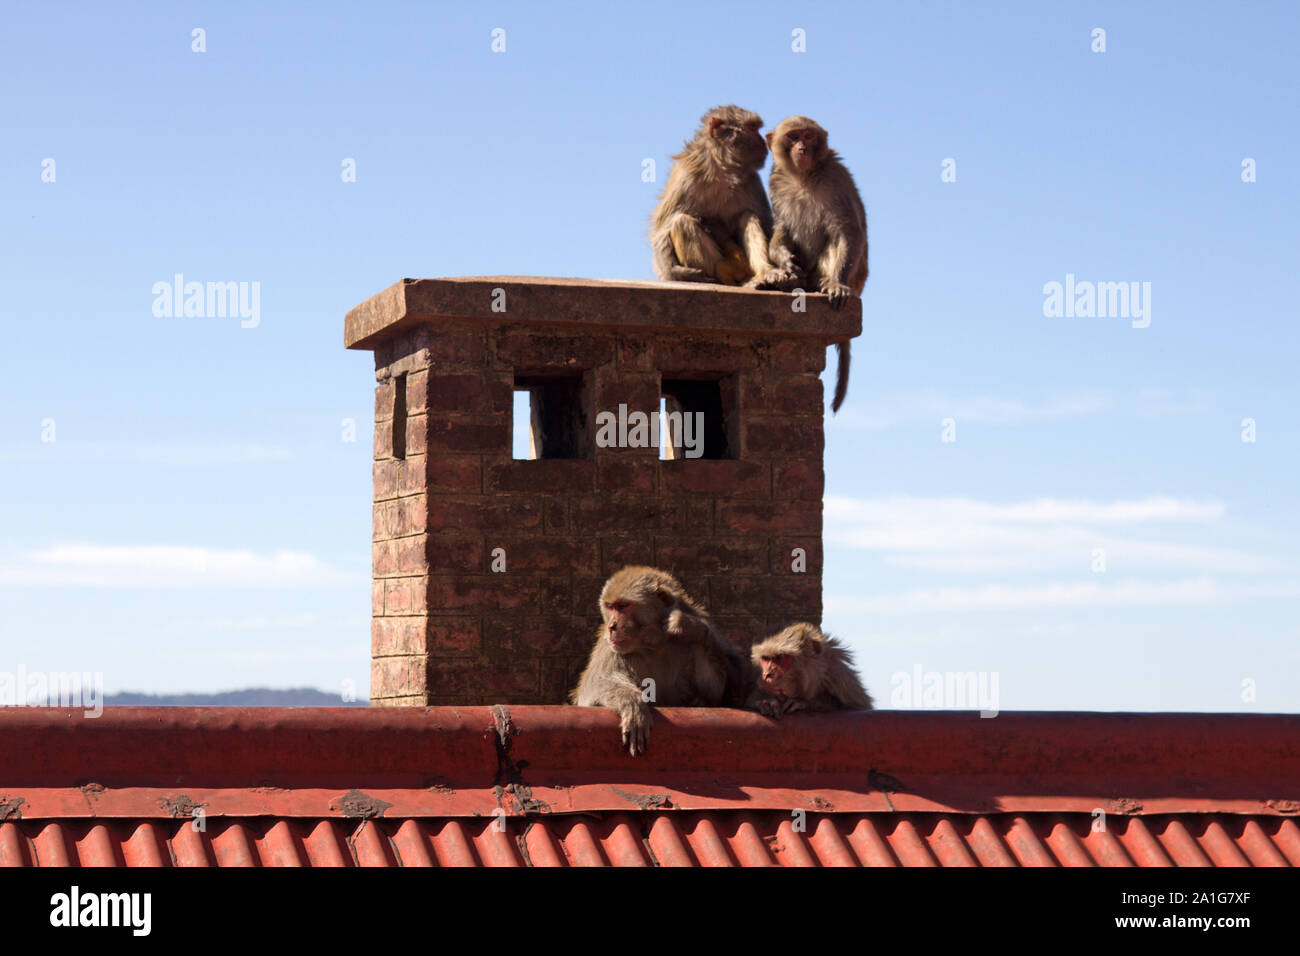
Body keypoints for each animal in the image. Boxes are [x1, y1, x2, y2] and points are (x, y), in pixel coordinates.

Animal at [570, 566, 749, 755]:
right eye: (610, 607)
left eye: (623, 606)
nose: (612, 627)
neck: (653, 643)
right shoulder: (609, 646)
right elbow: (593, 686)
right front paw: (633, 704)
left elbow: (737, 683)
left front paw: (690, 626)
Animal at [649, 106, 789, 289]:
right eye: (752, 128)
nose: (763, 141)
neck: (723, 167)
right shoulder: (687, 175)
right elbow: (662, 228)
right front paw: (674, 272)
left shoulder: (752, 180)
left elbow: (765, 223)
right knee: (682, 221)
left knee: (747, 215)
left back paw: (763, 274)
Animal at [766, 115, 868, 413]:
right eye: (793, 136)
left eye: (809, 136)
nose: (802, 148)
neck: (802, 177)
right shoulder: (776, 182)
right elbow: (782, 227)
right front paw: (784, 261)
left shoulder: (836, 176)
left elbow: (847, 229)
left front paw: (836, 284)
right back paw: (787, 281)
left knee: (834, 236)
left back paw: (825, 282)